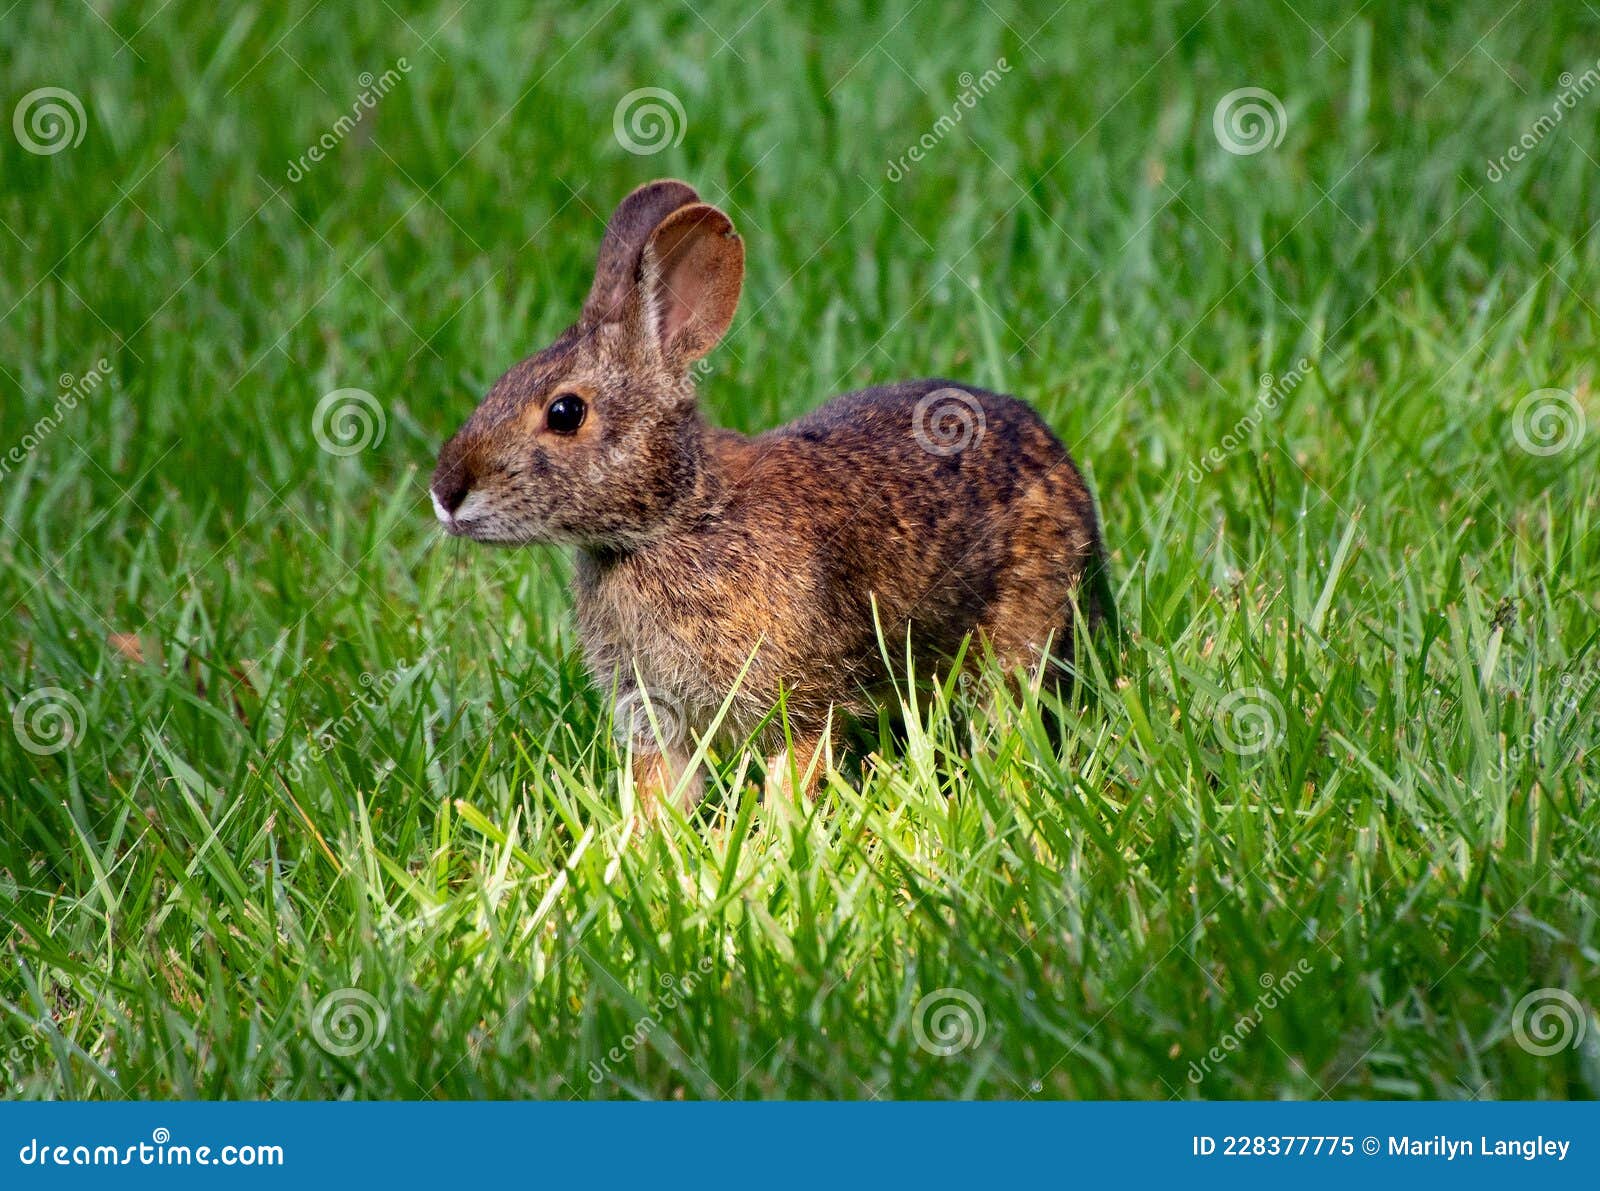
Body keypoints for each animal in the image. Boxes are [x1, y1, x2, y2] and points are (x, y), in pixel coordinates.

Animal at [432, 179, 1111, 813]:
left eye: (566, 412)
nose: (445, 494)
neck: (677, 516)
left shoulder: (801, 692)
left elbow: (796, 766)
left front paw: (778, 833)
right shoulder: (658, 711)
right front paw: (647, 837)